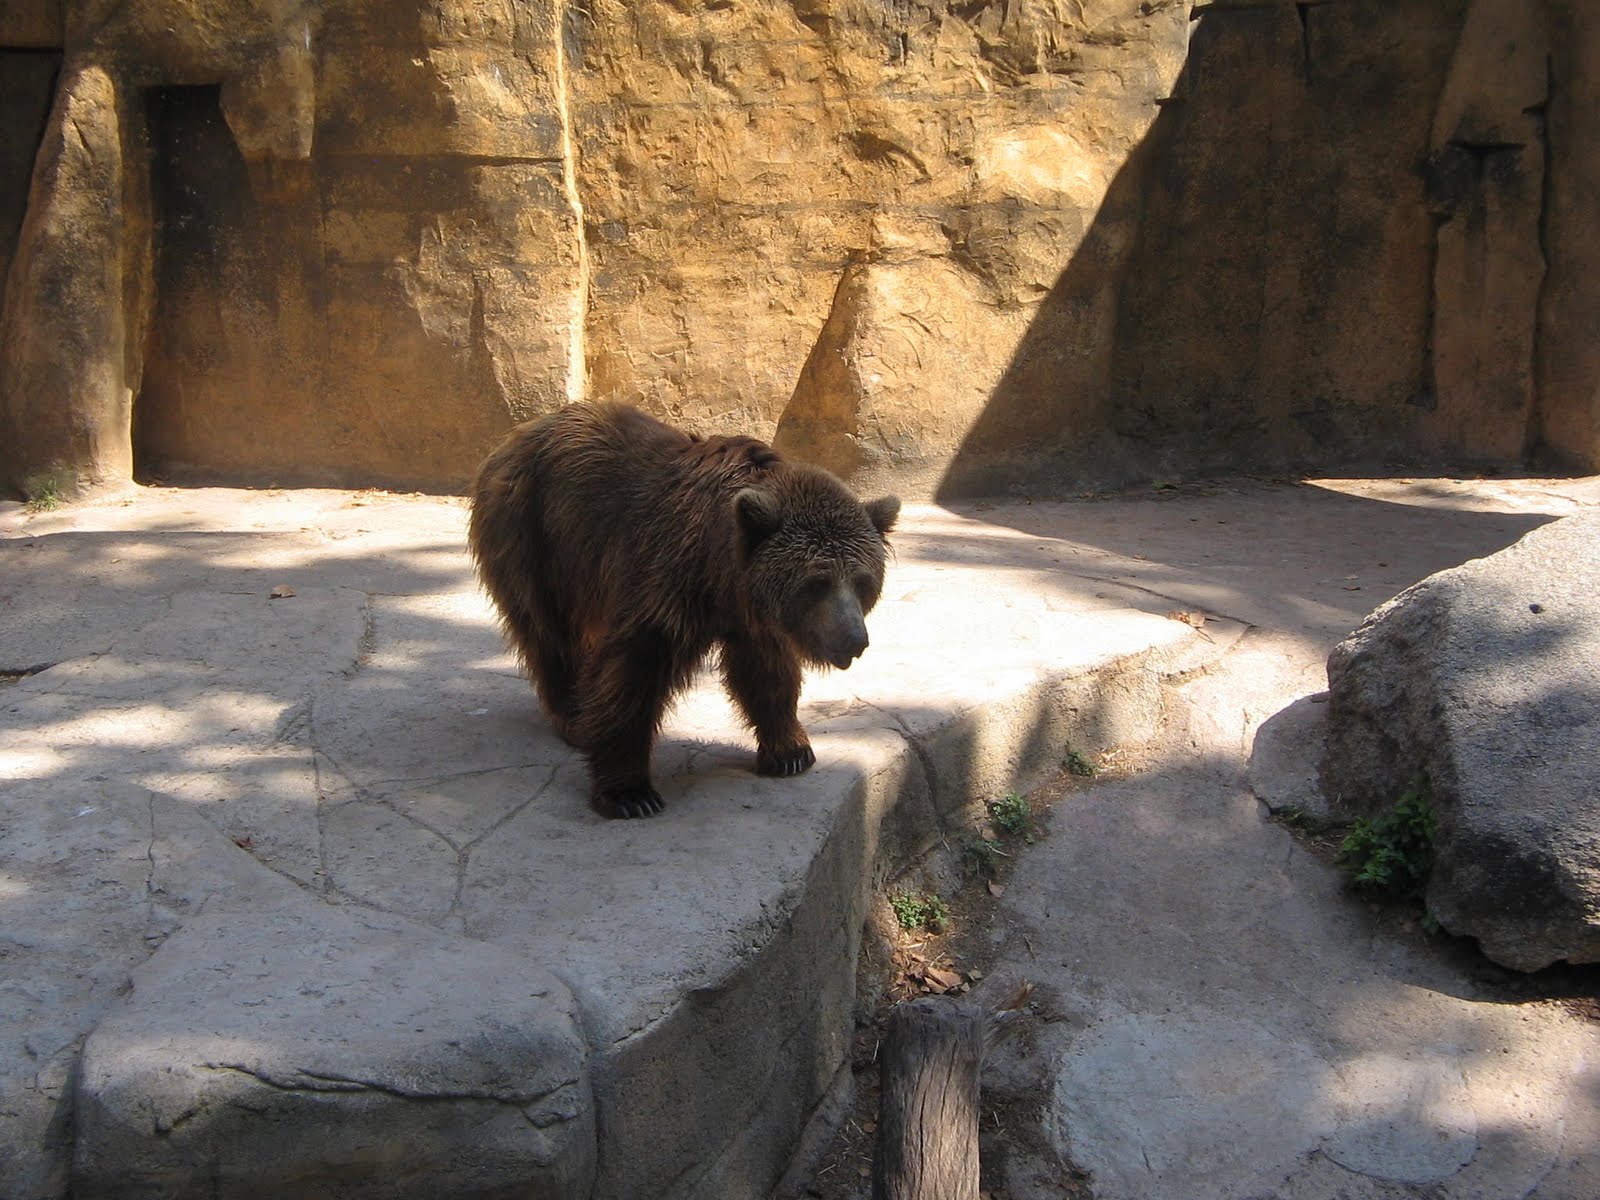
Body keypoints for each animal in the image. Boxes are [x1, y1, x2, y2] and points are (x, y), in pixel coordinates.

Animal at [469, 402, 900, 819]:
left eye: (862, 580)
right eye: (818, 582)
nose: (853, 638)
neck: (721, 573)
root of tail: (521, 433)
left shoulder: (750, 615)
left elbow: (766, 671)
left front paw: (790, 750)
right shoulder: (669, 581)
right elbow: (634, 670)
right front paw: (629, 792)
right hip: (534, 533)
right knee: (550, 632)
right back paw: (573, 716)